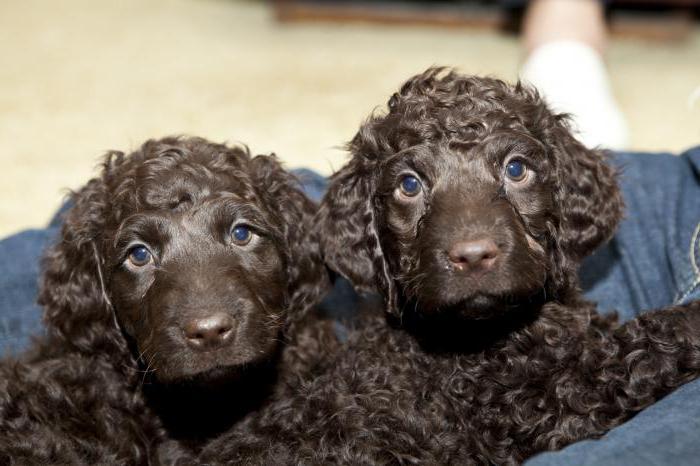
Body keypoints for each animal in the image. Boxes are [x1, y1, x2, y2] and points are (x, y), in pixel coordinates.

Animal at [197, 69, 700, 466]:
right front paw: (687, 321)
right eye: (409, 185)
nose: (472, 255)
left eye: (516, 169)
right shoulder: (544, 405)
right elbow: (628, 353)